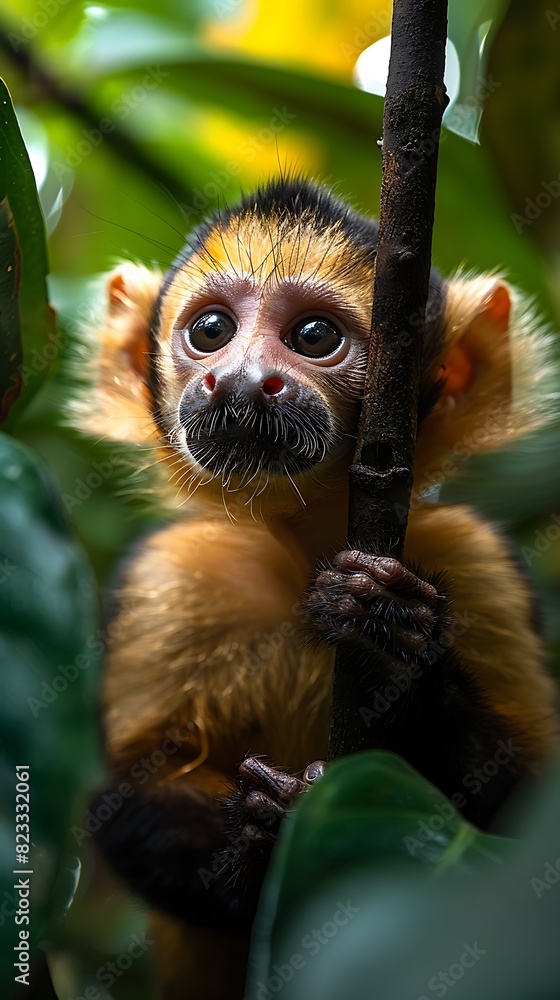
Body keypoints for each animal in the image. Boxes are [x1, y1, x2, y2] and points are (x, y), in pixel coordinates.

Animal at [74, 177, 558, 1000]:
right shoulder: (171, 572)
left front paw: (395, 640)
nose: (240, 379)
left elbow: (531, 811)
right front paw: (261, 833)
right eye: (210, 330)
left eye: (312, 338)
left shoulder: (475, 559)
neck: (301, 549)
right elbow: (118, 793)